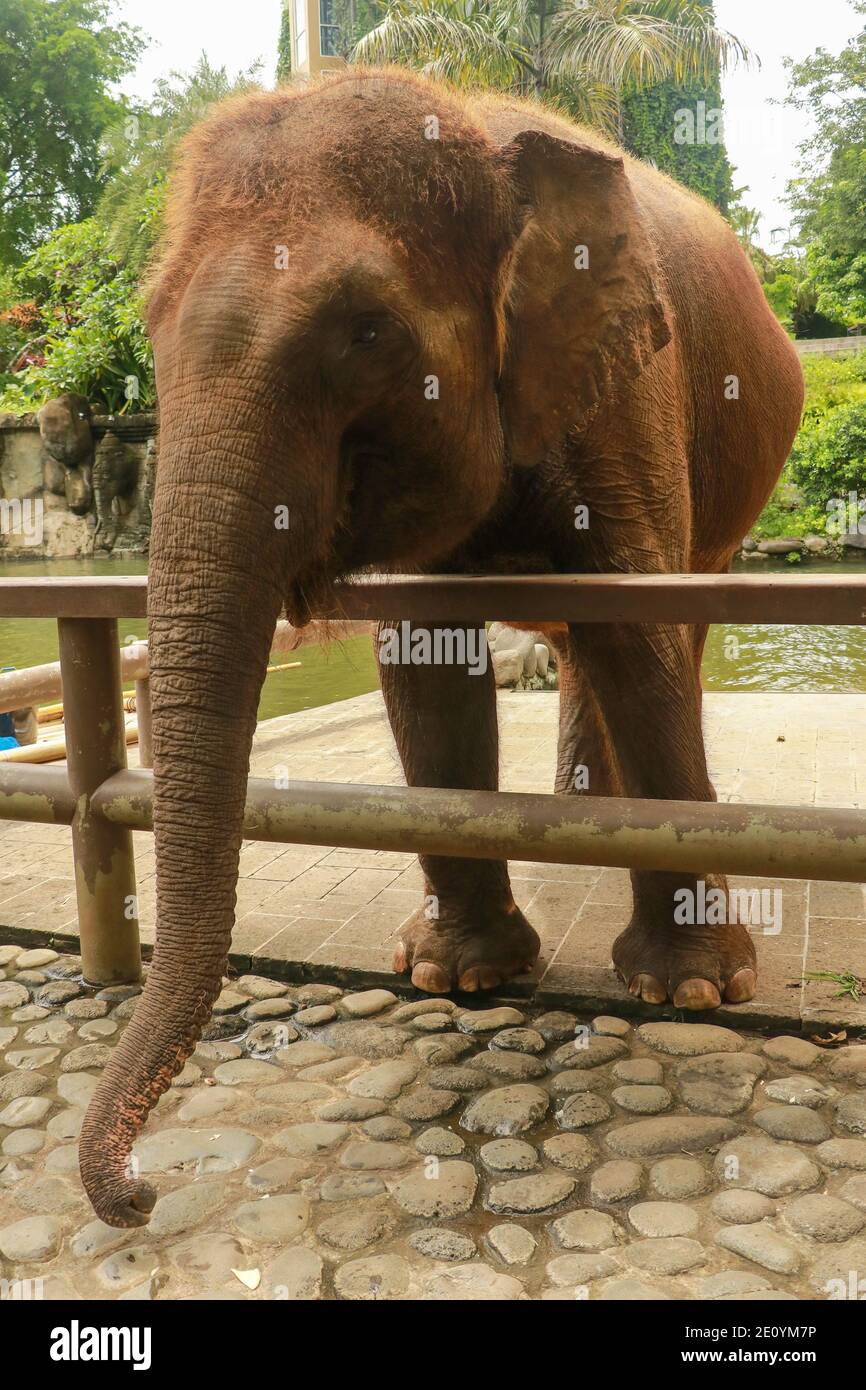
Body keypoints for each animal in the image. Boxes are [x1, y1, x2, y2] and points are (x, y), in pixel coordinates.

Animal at [78, 70, 804, 1227]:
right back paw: (575, 813)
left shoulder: (627, 388)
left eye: (368, 331)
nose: (141, 1195)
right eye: (147, 324)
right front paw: (456, 977)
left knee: (670, 628)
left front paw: (691, 988)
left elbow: (637, 630)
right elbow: (422, 655)